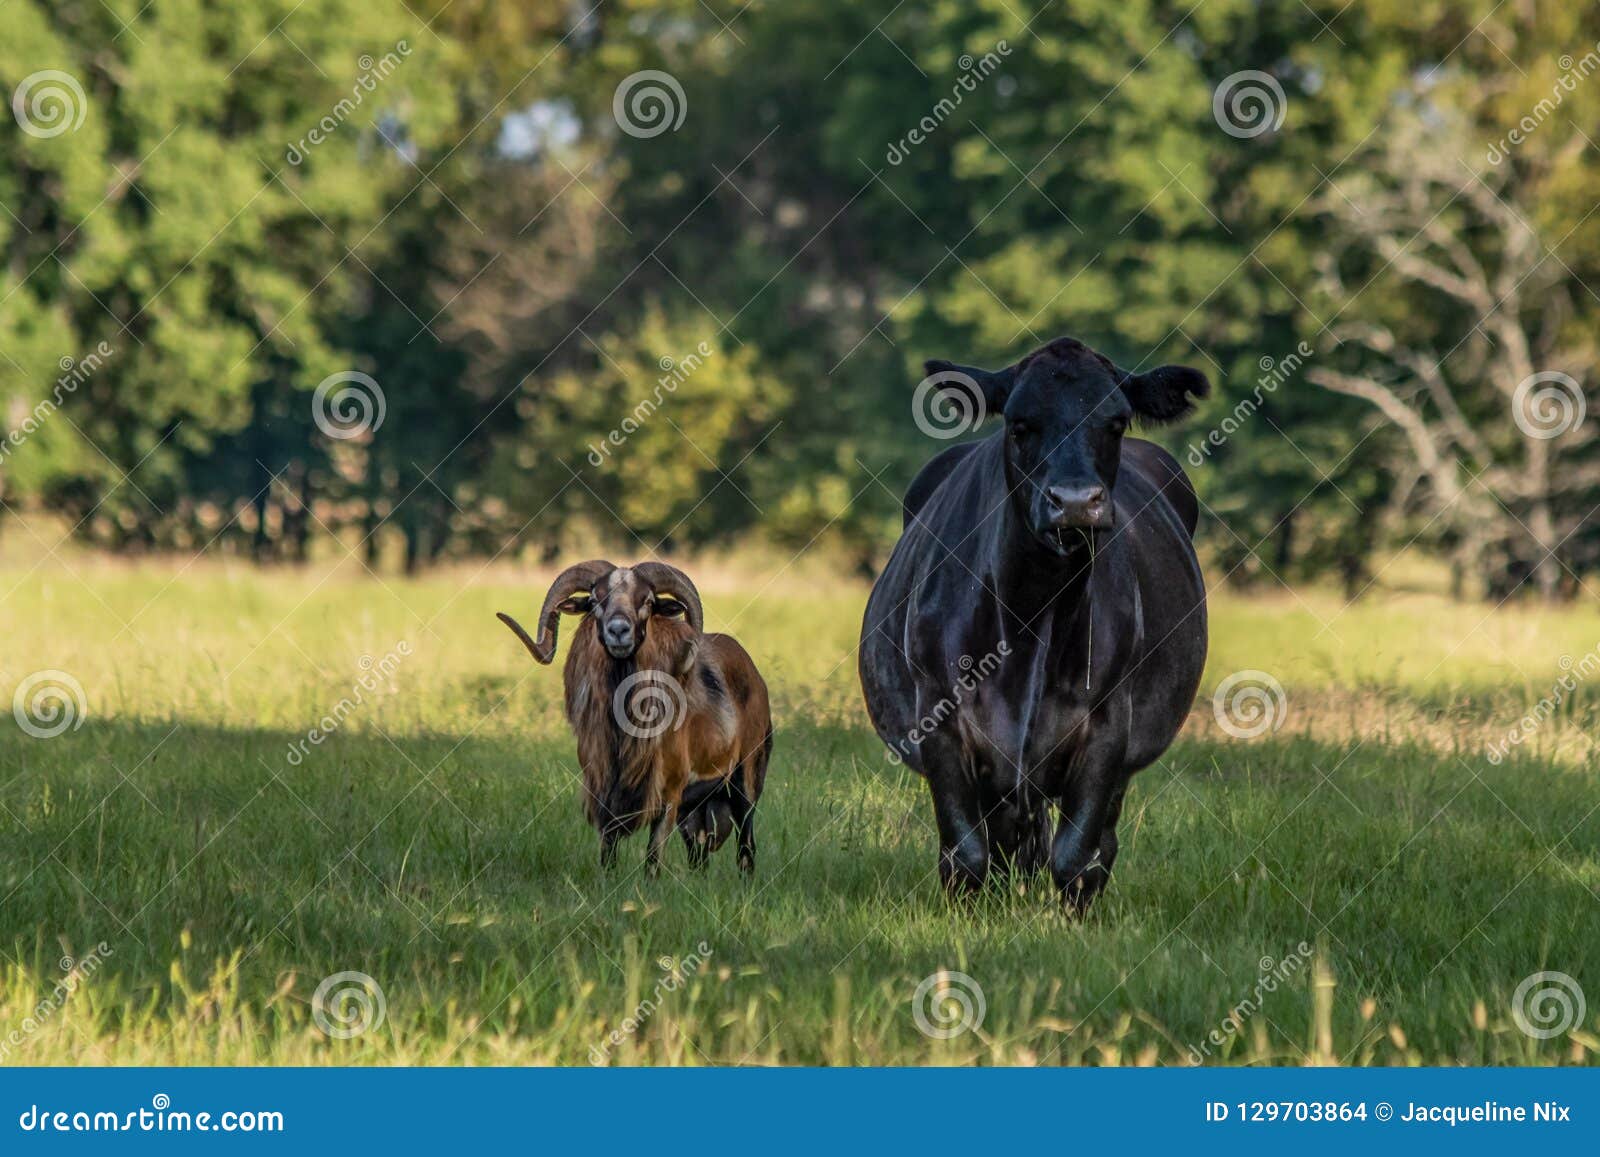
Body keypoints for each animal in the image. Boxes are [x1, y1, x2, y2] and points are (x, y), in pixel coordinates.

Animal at [498, 560, 772, 874]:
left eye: (648, 601)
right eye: (595, 600)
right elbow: (608, 855)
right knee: (699, 858)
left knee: (746, 850)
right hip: (695, 813)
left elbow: (652, 859)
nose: (619, 630)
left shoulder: (668, 796)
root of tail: (755, 676)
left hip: (745, 785)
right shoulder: (605, 796)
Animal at [858, 335, 1210, 914]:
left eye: (1116, 422)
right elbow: (964, 854)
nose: (1076, 502)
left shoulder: (1109, 726)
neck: (1033, 614)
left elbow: (1077, 857)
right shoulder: (940, 719)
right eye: (1020, 423)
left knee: (1093, 840)